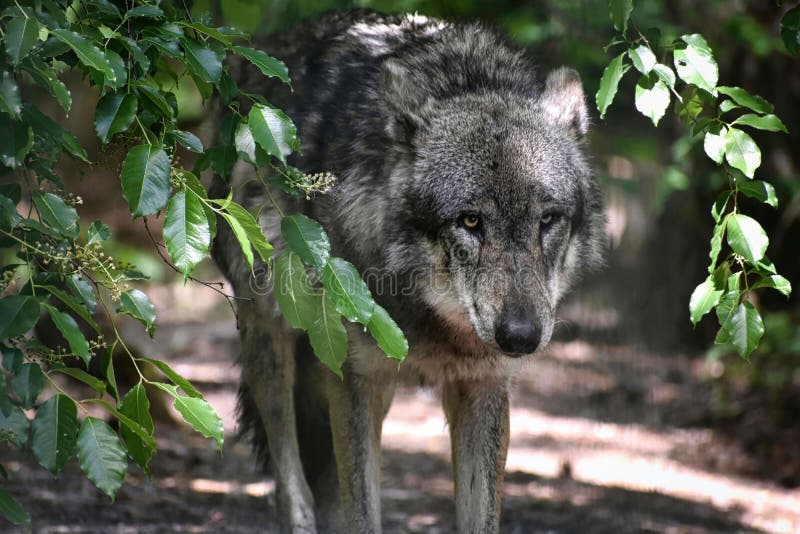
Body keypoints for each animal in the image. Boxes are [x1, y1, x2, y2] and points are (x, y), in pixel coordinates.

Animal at [211, 9, 605, 533]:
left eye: (547, 220)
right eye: (470, 221)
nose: (521, 336)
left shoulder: (484, 388)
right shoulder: (356, 380)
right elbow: (361, 514)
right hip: (271, 344)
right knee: (290, 481)